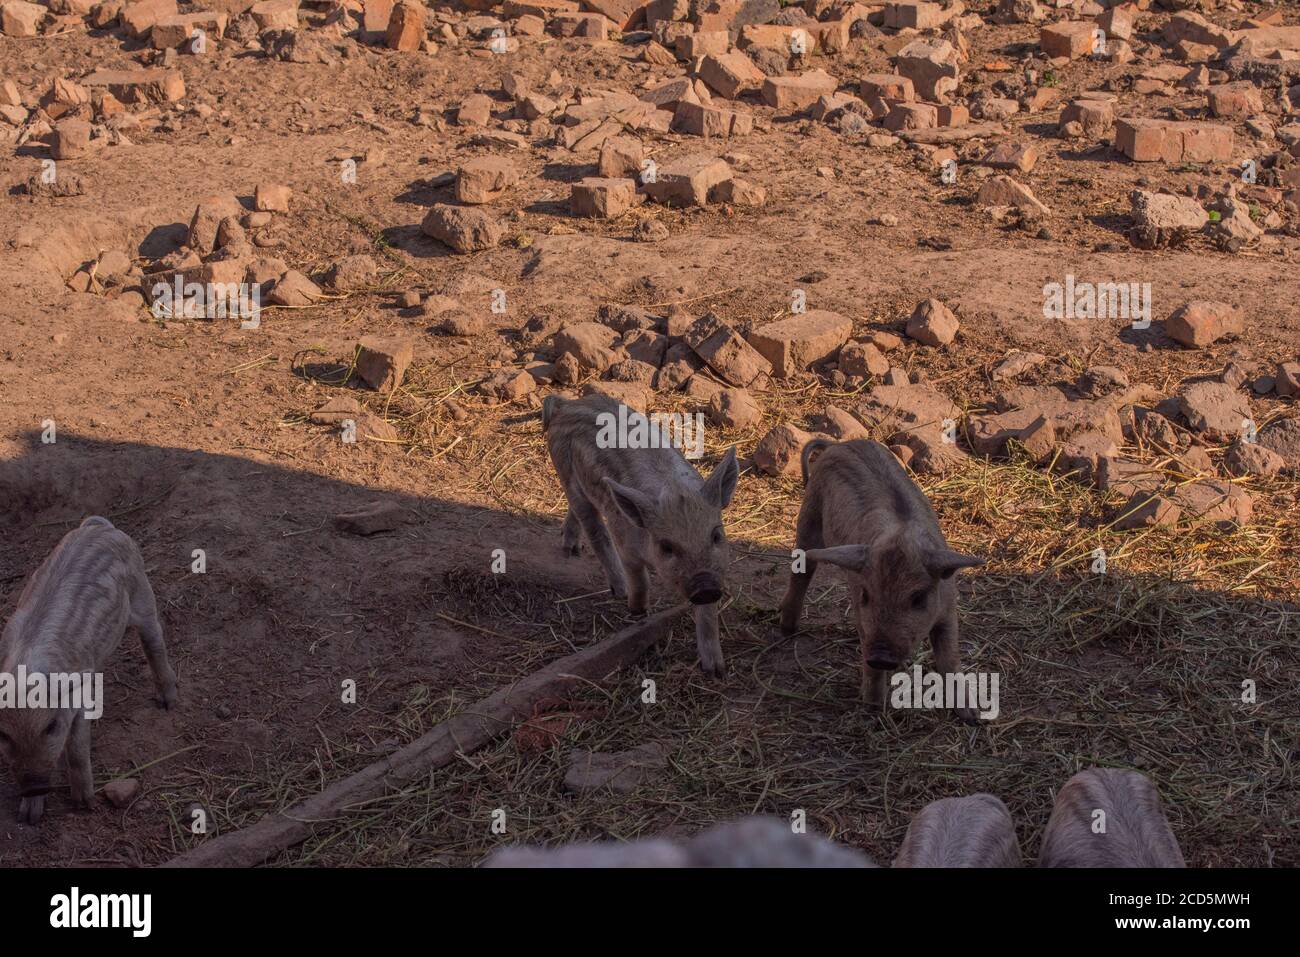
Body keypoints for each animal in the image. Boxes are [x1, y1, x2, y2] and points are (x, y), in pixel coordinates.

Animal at [0, 517, 177, 825]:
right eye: (4, 735)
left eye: (51, 726)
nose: (34, 788)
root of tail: (99, 525)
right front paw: (29, 817)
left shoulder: (78, 695)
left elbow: (77, 748)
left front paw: (85, 804)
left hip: (142, 593)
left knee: (154, 641)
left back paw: (169, 703)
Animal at [542, 394, 739, 677]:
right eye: (666, 546)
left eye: (716, 536)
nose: (704, 585)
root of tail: (567, 404)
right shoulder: (625, 545)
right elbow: (639, 579)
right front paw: (636, 610)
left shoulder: (715, 571)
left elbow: (708, 615)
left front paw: (715, 671)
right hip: (565, 472)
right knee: (593, 527)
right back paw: (613, 586)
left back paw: (572, 548)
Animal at [778, 438, 984, 721]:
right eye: (867, 595)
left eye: (918, 597)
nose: (881, 656)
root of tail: (838, 444)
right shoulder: (860, 612)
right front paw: (874, 709)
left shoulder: (948, 607)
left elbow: (950, 658)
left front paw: (973, 717)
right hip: (809, 517)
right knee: (801, 571)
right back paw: (786, 629)